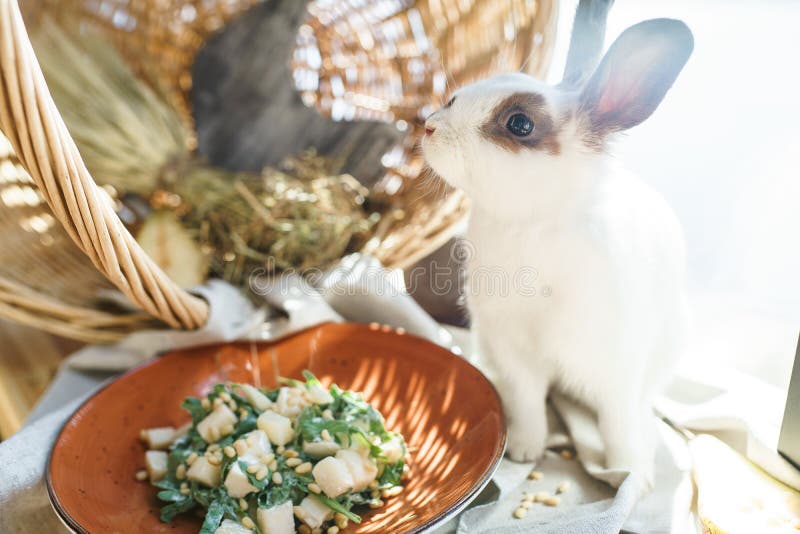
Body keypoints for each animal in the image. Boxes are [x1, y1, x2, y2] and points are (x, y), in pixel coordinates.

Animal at [421, 17, 693, 491]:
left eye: (519, 124)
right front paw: (523, 450)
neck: (532, 222)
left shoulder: (614, 363)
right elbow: (528, 403)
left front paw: (632, 473)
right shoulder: (513, 352)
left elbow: (616, 422)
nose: (429, 127)